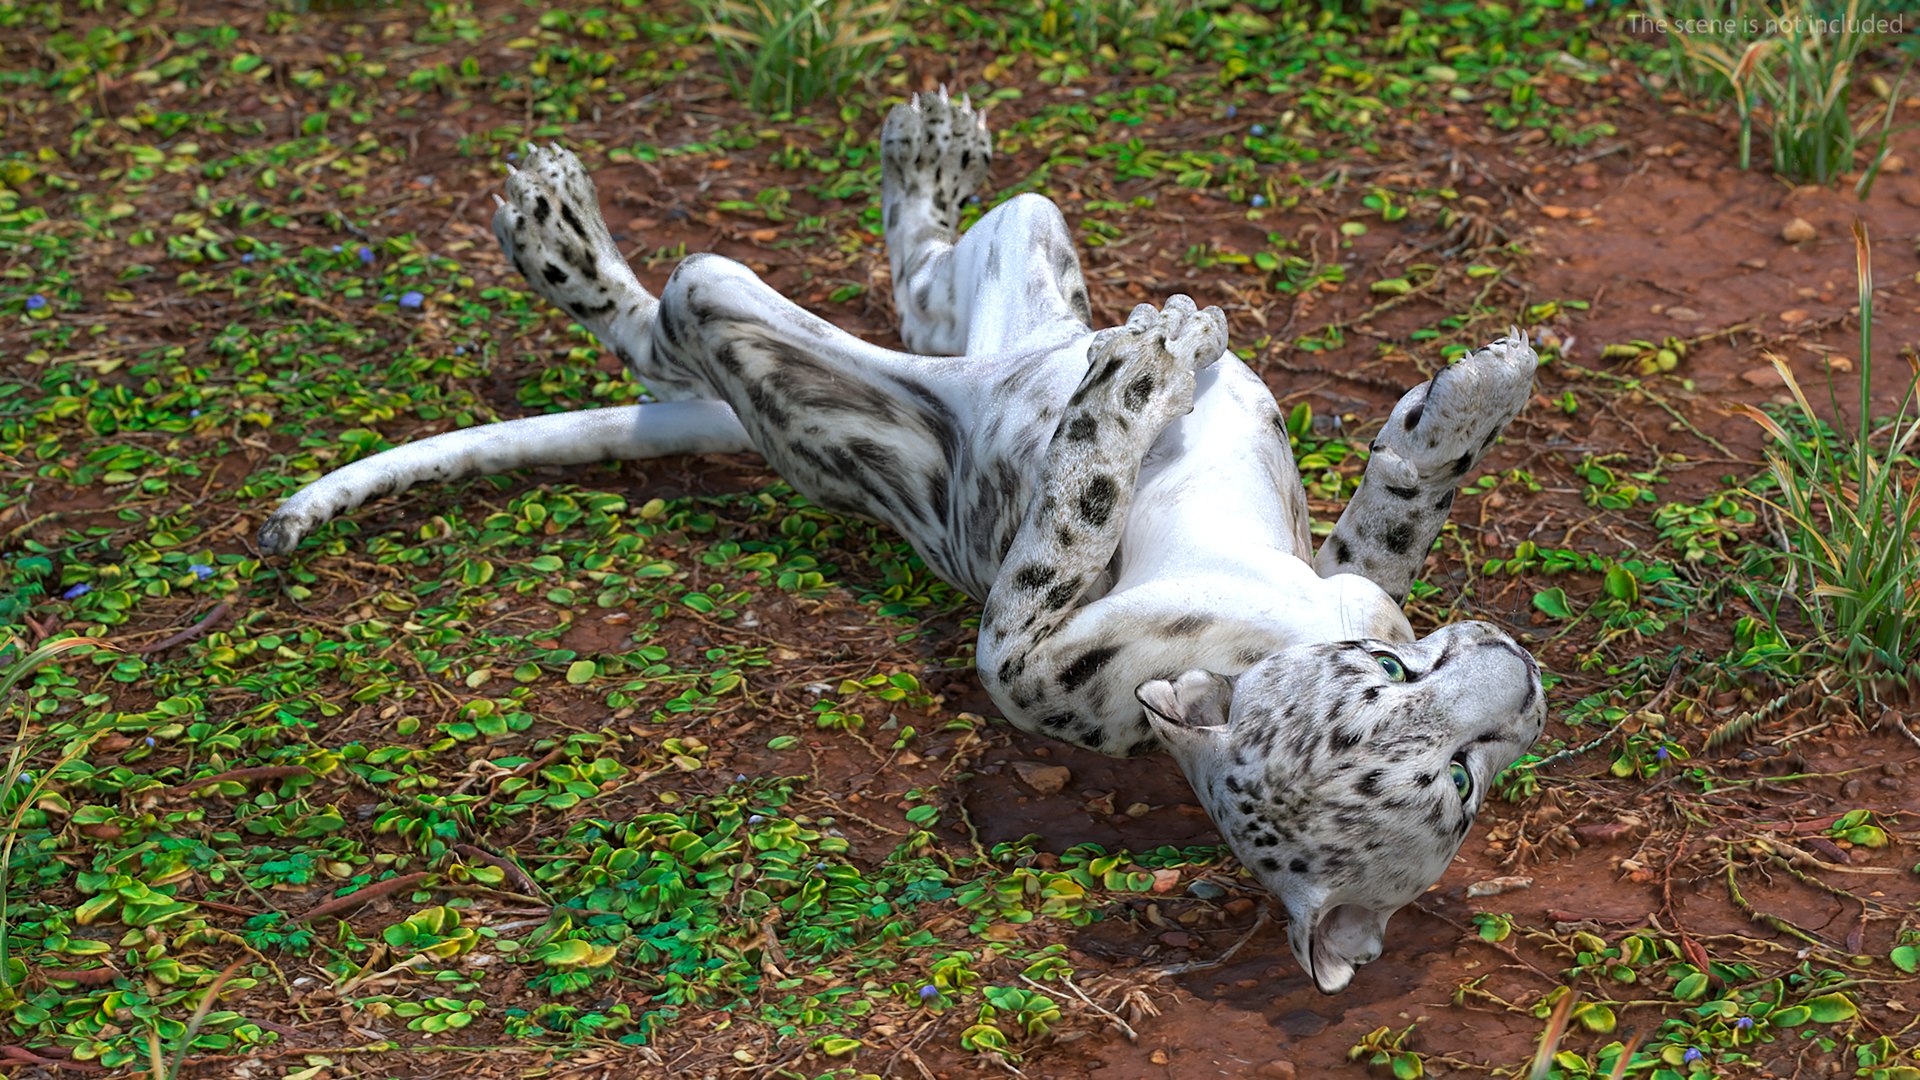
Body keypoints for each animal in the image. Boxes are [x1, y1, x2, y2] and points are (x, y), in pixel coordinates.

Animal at [257, 90, 1546, 995]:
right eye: (1383, 689)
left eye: (1465, 779)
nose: (1524, 679)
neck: (1262, 634)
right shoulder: (1145, 625)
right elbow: (1356, 521)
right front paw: (1459, 404)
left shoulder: (1111, 633)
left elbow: (1284, 521)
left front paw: (1440, 409)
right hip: (959, 290)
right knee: (847, 291)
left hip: (807, 350)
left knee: (698, 319)